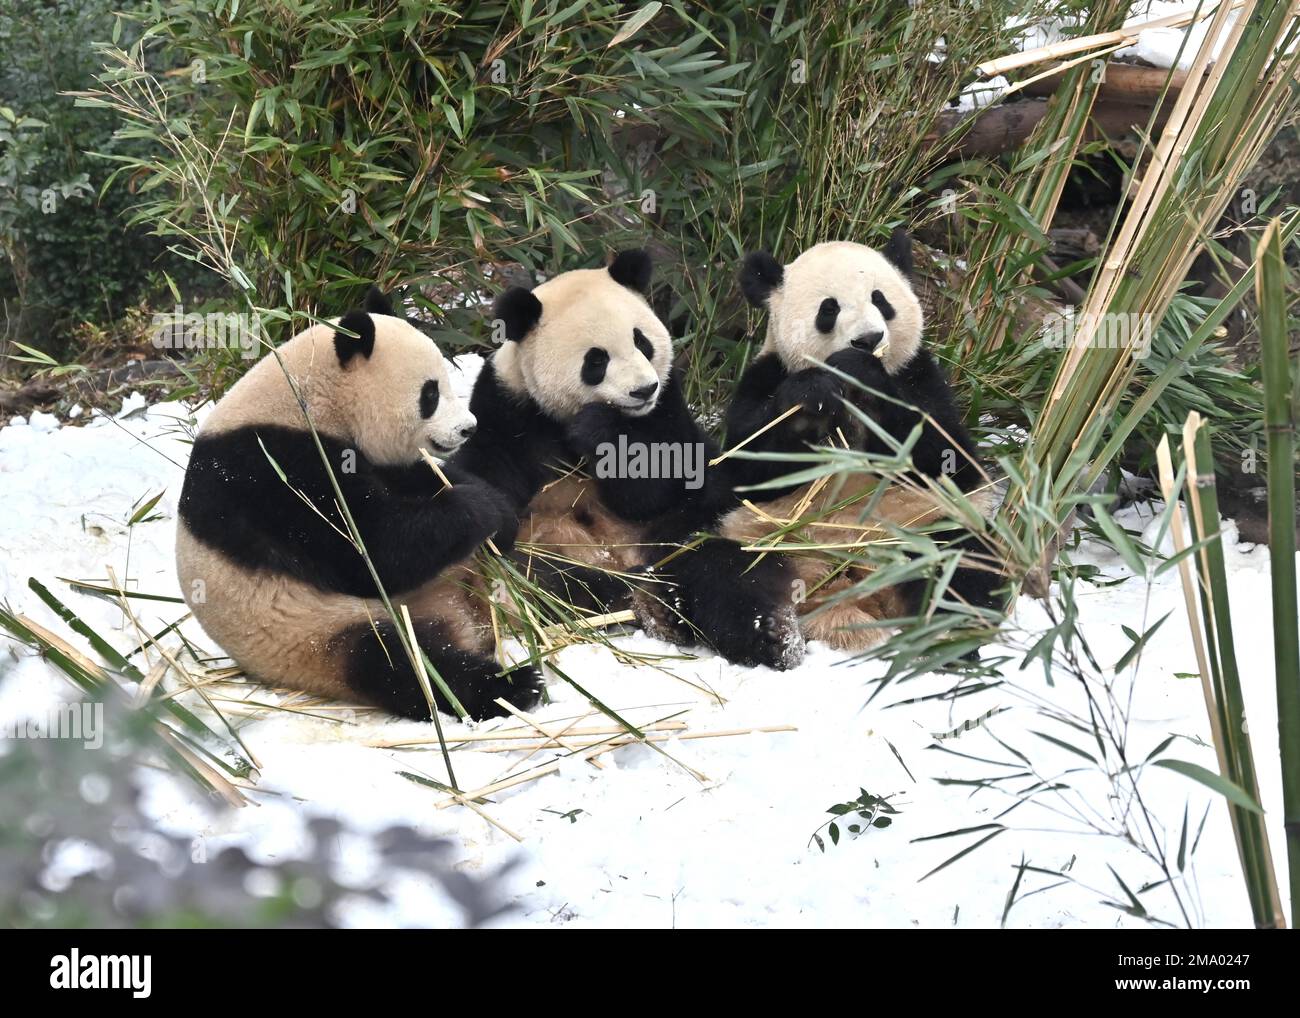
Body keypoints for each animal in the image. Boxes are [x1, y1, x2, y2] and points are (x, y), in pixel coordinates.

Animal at [175, 289, 544, 721]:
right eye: (431, 394)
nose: (467, 428)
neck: (306, 398)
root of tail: (463, 620)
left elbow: (416, 480)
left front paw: (500, 517)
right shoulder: (271, 472)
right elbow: (372, 552)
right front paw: (479, 509)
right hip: (316, 634)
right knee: (400, 662)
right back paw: (510, 686)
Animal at [451, 250, 802, 670]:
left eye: (641, 341)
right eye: (596, 360)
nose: (643, 389)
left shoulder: (667, 408)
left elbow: (660, 485)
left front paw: (597, 430)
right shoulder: (508, 410)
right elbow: (489, 478)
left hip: (677, 535)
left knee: (722, 568)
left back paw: (764, 635)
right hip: (550, 555)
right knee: (553, 581)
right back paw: (645, 600)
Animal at [718, 230, 1003, 651]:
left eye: (880, 300)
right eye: (829, 309)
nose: (868, 340)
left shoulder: (919, 375)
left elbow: (946, 456)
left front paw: (862, 371)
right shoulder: (766, 374)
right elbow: (746, 464)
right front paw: (814, 394)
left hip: (928, 526)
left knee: (960, 566)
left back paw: (951, 637)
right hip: (764, 538)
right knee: (730, 573)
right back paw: (774, 637)